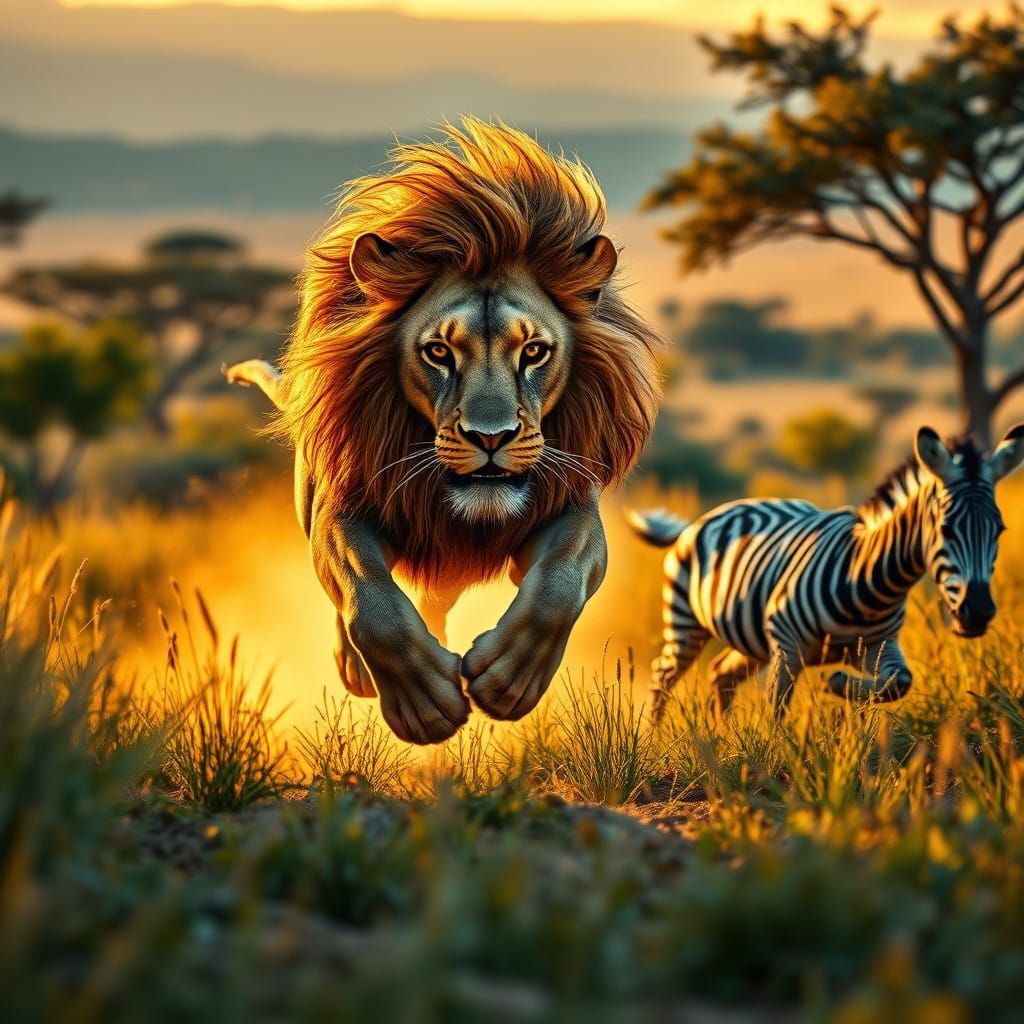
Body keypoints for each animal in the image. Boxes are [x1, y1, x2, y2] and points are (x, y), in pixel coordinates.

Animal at [228, 119, 661, 745]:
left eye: (534, 352)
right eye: (438, 352)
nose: (491, 437)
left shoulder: (570, 505)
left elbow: (559, 585)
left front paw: (508, 682)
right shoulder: (342, 509)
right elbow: (371, 599)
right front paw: (424, 705)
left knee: (437, 597)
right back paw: (358, 668)